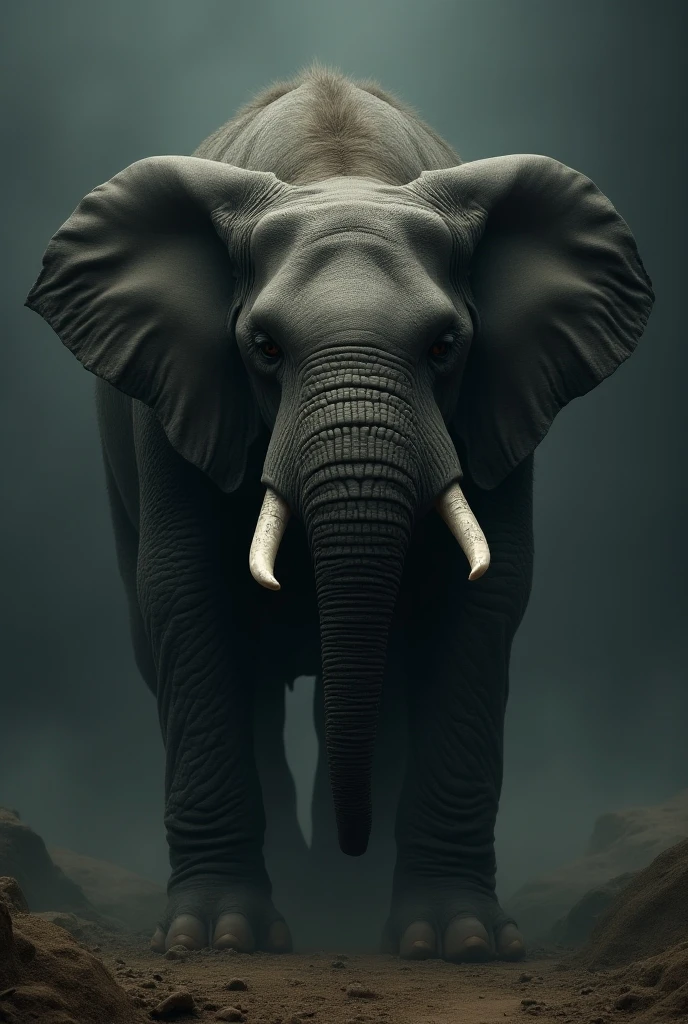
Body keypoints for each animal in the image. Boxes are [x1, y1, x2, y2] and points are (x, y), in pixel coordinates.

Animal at [25, 64, 653, 963]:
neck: (342, 174)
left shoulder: (503, 397)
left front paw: (456, 942)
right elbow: (183, 595)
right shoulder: (172, 402)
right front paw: (216, 939)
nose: (357, 845)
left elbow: (485, 604)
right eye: (264, 348)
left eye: (445, 346)